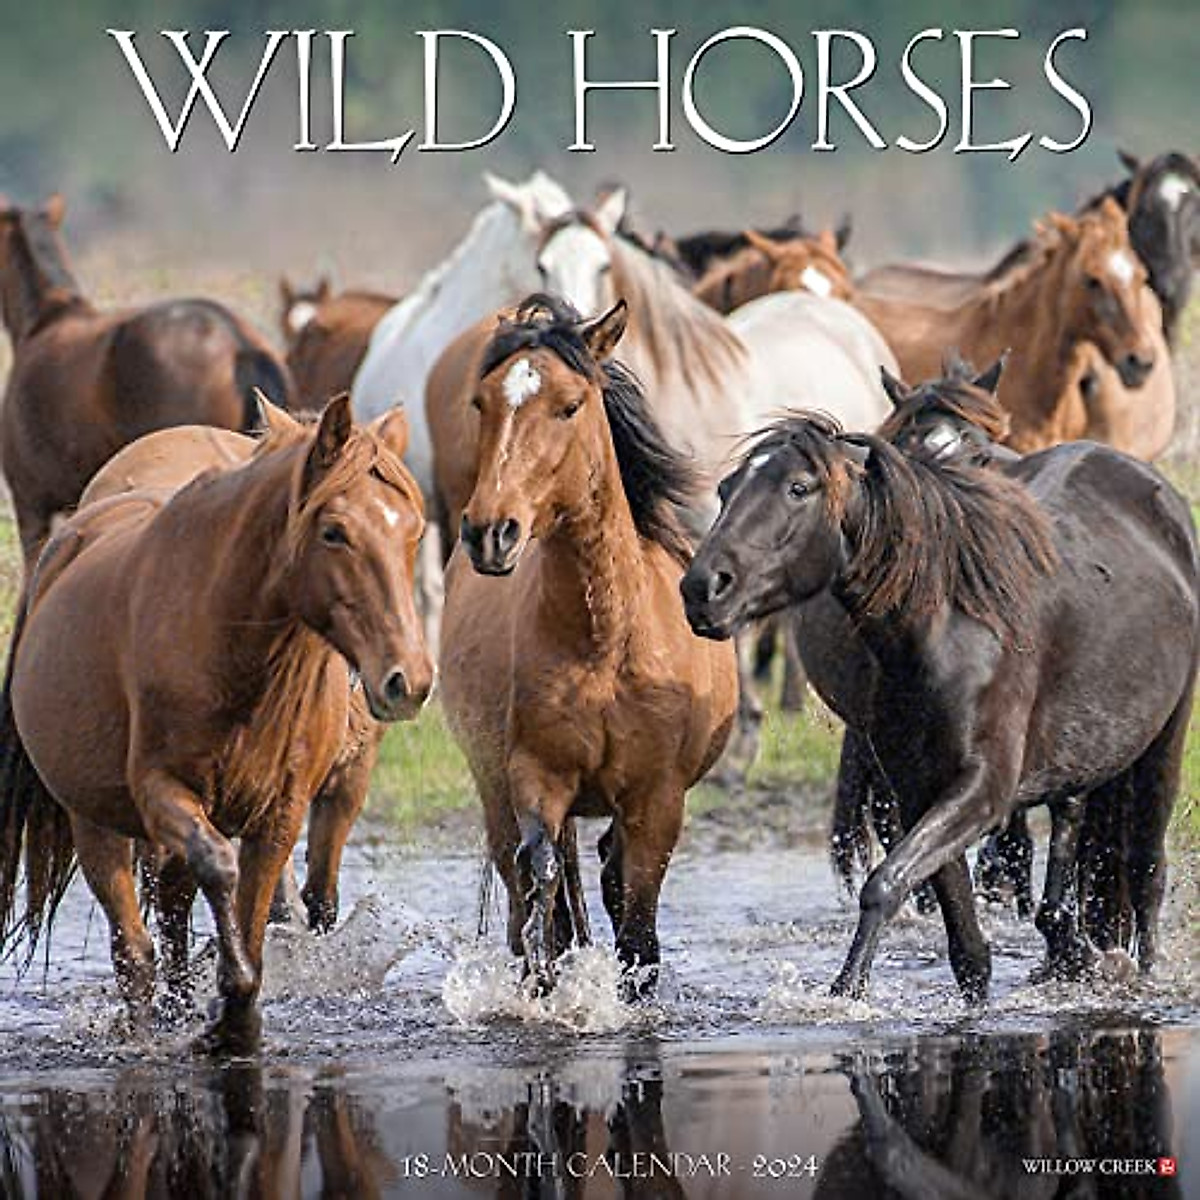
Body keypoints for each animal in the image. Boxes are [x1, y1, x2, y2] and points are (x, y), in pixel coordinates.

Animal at [439, 296, 737, 997]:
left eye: (570, 405)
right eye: (481, 402)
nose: (490, 533)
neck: (604, 639)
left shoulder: (658, 800)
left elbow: (638, 924)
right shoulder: (535, 778)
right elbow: (541, 881)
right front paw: (545, 983)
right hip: (494, 788)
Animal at [681, 408, 1197, 1002]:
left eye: (798, 488)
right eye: (726, 489)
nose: (702, 589)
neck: (953, 627)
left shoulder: (983, 792)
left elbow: (884, 884)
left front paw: (846, 991)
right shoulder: (918, 787)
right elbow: (964, 939)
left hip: (1165, 742)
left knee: (1146, 871)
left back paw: (1138, 968)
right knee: (1071, 828)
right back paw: (1069, 951)